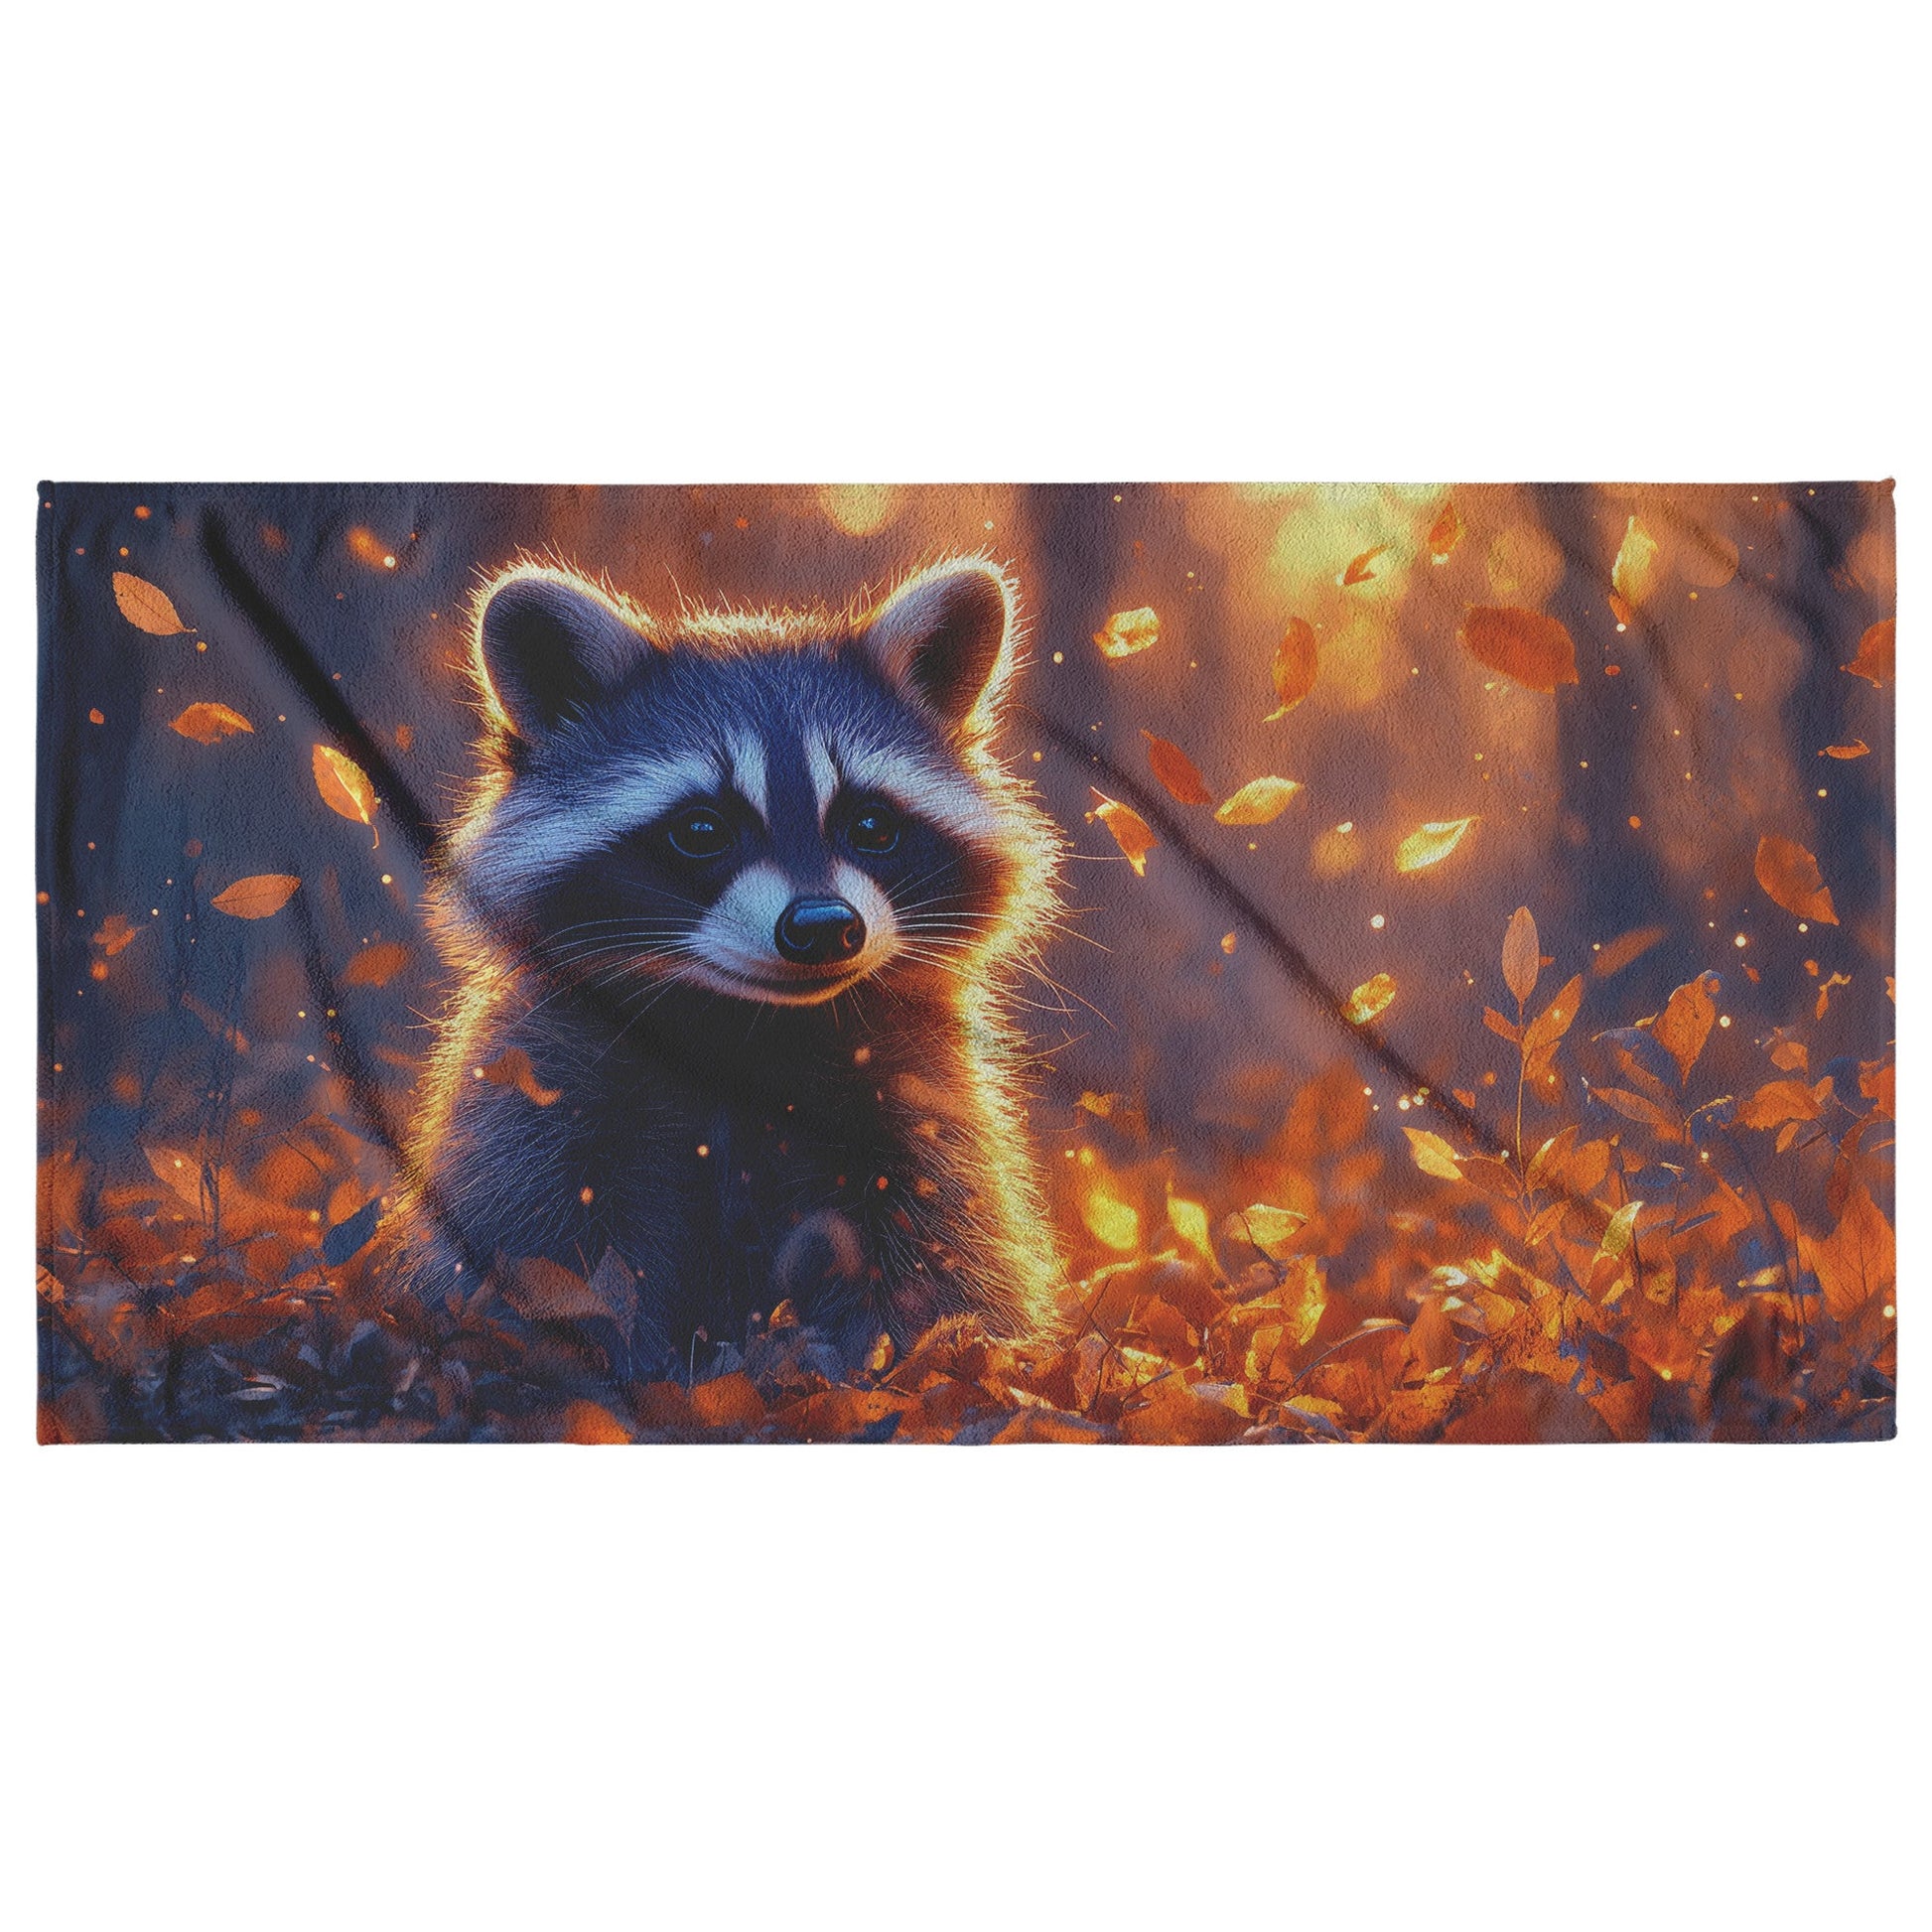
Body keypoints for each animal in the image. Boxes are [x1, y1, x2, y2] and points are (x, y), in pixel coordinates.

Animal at [401, 554, 1066, 1368]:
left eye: (871, 824)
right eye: (701, 830)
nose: (823, 928)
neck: (750, 1023)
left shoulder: (920, 1095)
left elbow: (952, 1249)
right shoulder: (541, 1076)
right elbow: (529, 1236)